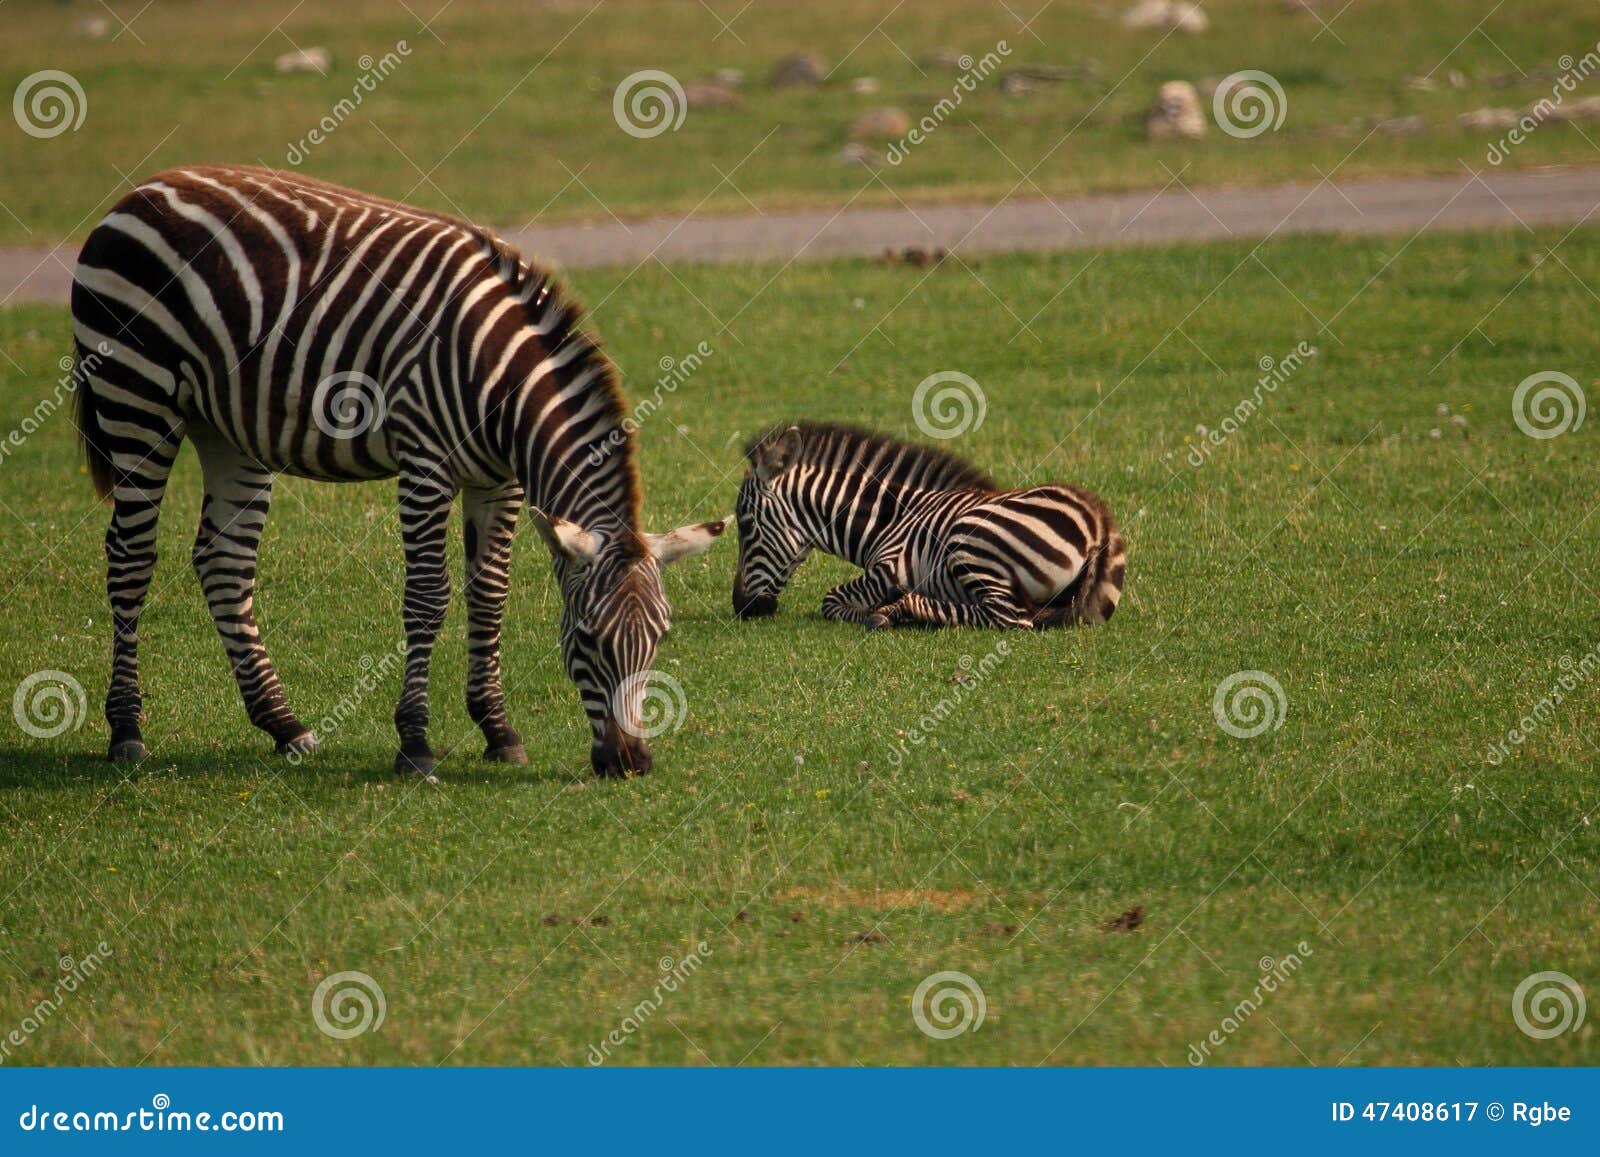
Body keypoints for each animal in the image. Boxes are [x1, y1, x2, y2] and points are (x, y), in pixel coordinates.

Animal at [71, 164, 727, 779]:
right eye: (587, 636)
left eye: (663, 636)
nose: (630, 763)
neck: (502, 381)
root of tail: (144, 188)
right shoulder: (425, 464)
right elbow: (428, 596)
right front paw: (414, 743)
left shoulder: (499, 480)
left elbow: (489, 593)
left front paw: (498, 730)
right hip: (137, 394)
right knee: (131, 556)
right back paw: (126, 730)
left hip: (227, 427)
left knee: (224, 562)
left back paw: (283, 724)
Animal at [732, 423, 1124, 630]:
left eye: (746, 526)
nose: (740, 608)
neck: (887, 520)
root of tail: (1098, 523)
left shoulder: (888, 569)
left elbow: (831, 599)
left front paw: (879, 613)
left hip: (969, 538)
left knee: (1009, 617)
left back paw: (898, 610)